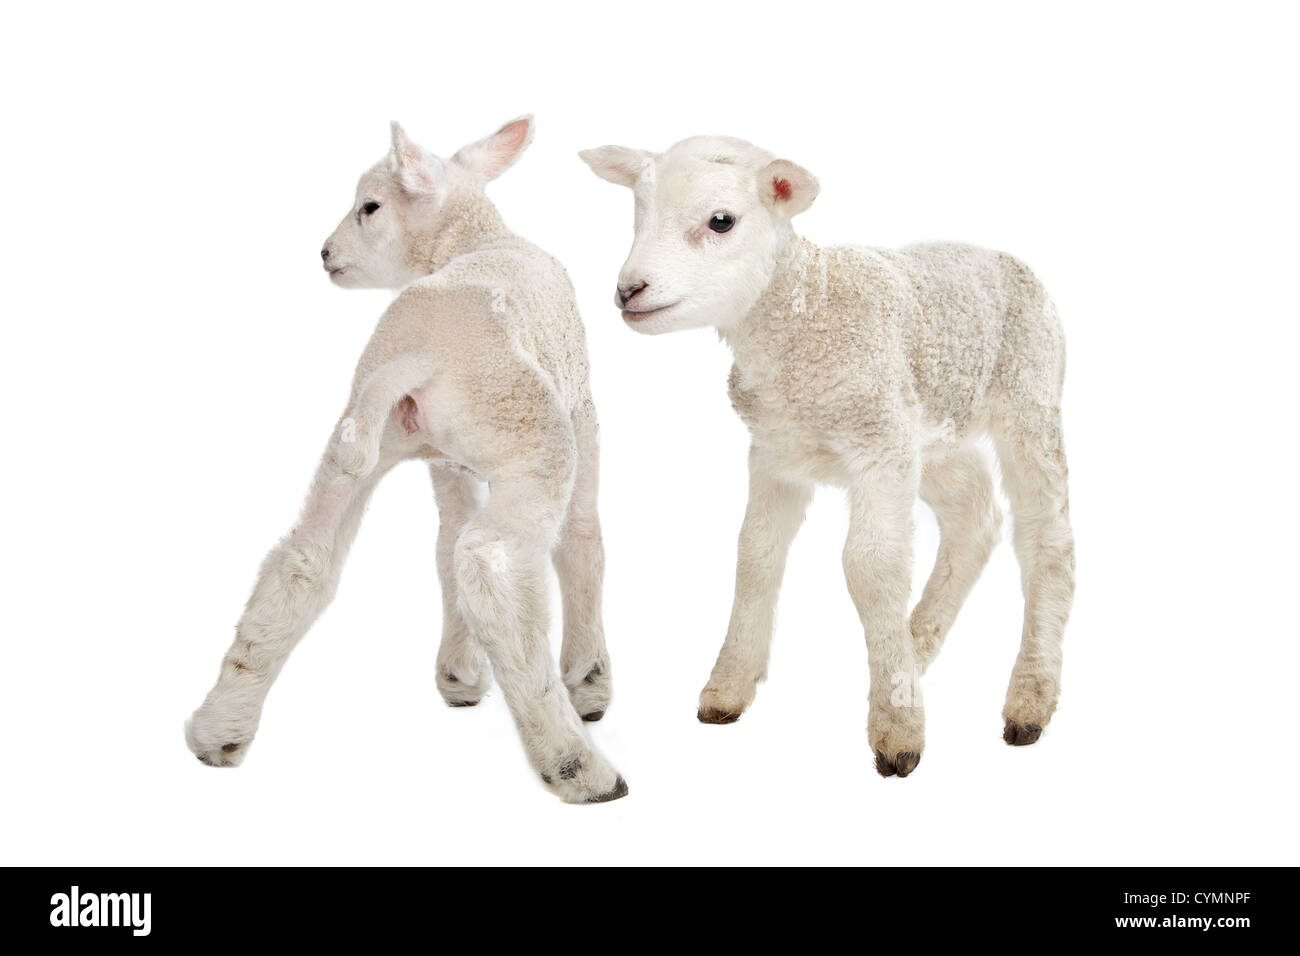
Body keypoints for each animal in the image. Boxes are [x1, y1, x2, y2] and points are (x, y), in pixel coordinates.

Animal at [187, 117, 627, 803]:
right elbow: (582, 538)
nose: (324, 253)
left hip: (365, 432)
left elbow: (443, 546)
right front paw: (589, 680)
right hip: (538, 442)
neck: (476, 239)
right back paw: (577, 764)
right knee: (492, 563)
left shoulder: (446, 461)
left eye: (369, 207)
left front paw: (459, 673)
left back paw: (218, 730)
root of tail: (422, 354)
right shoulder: (583, 409)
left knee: (306, 559)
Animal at [580, 136, 1074, 777]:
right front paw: (728, 687)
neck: (805, 310)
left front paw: (897, 730)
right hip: (931, 429)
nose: (629, 290)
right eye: (638, 212)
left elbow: (872, 568)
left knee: (1047, 537)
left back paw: (1028, 698)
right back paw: (913, 648)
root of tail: (1001, 255)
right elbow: (755, 556)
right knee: (975, 516)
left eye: (721, 221)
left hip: (1029, 396)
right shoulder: (776, 451)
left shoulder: (877, 449)